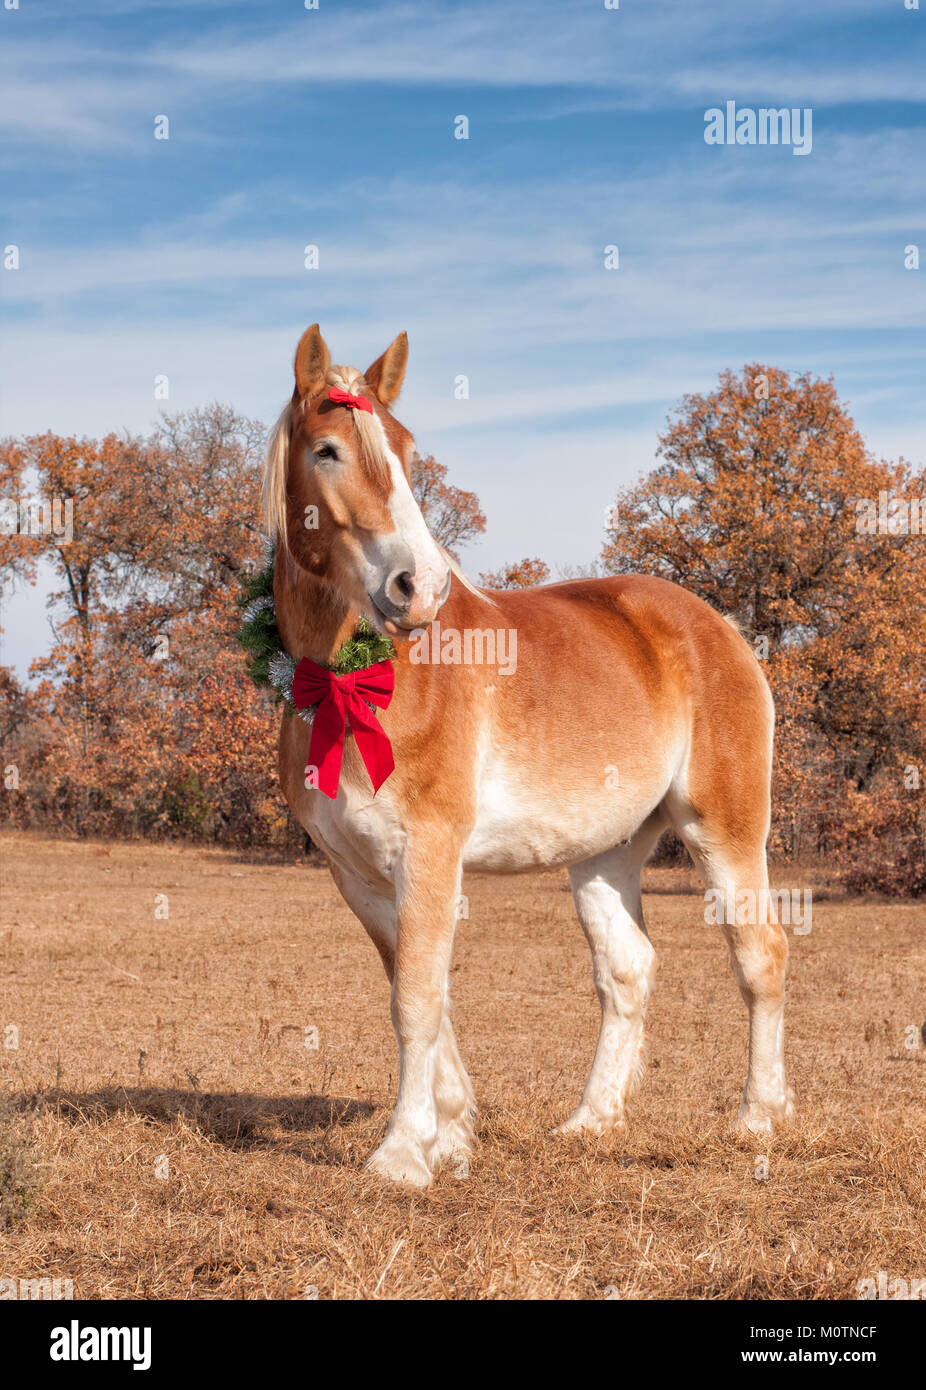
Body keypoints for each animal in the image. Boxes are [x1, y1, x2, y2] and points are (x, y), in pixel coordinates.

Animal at [263, 322, 794, 1186]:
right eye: (328, 449)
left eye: (404, 448)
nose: (419, 588)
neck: (354, 679)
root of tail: (717, 629)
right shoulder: (359, 874)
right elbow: (421, 990)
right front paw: (451, 1134)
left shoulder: (430, 853)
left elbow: (415, 1000)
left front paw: (403, 1153)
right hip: (607, 851)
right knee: (627, 971)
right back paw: (592, 1122)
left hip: (724, 828)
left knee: (760, 955)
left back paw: (758, 1118)